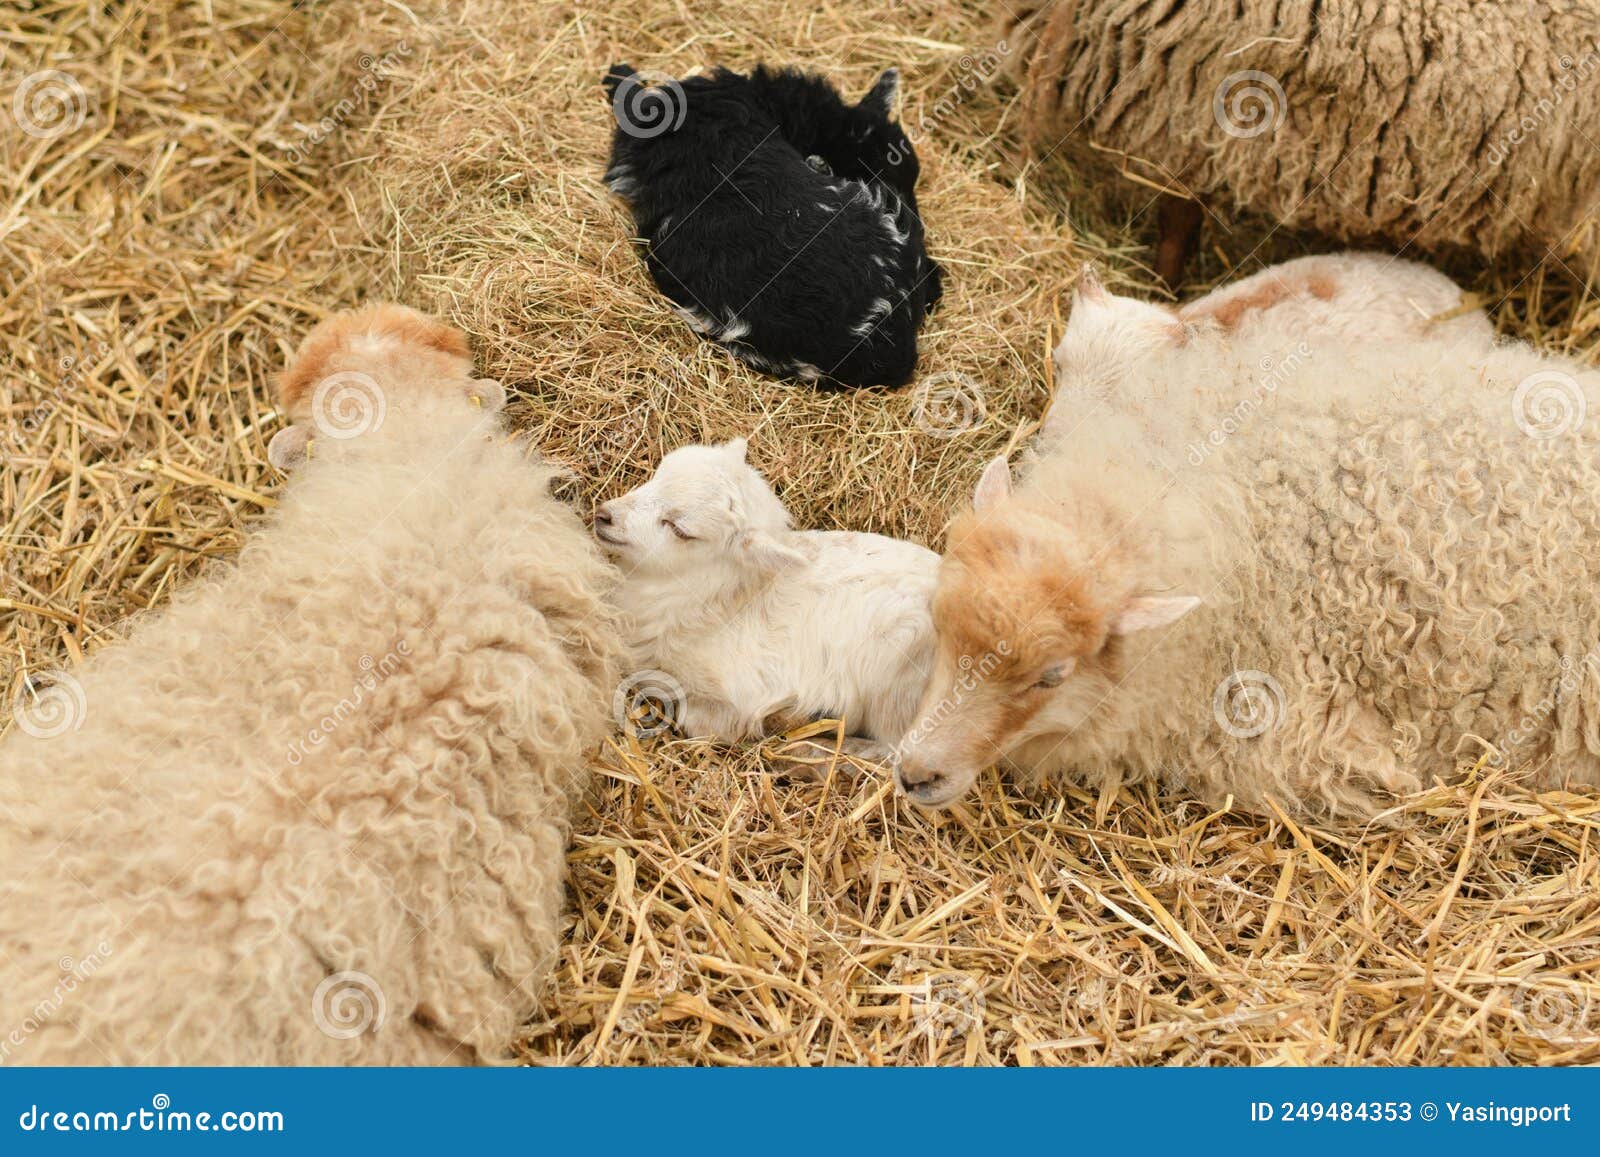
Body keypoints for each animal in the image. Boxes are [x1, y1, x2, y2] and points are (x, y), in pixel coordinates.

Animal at [595, 438, 938, 759]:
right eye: (656, 475)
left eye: (680, 530)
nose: (604, 515)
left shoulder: (738, 695)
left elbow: (702, 721)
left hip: (898, 681)